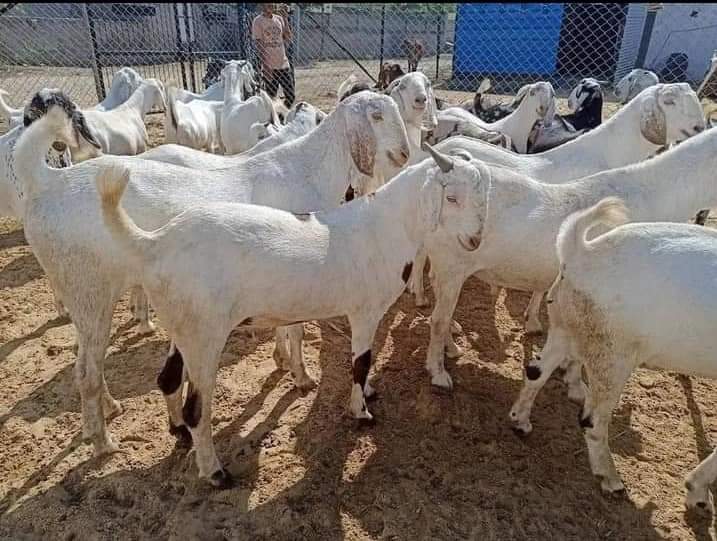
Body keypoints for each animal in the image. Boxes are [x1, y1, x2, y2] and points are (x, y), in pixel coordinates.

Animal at [13, 90, 409, 461]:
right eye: (376, 116)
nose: (405, 155)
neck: (305, 169)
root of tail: (46, 182)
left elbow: (284, 327)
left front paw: (283, 362)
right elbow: (295, 330)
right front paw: (301, 376)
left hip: (86, 295)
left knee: (86, 363)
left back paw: (109, 410)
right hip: (89, 291)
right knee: (86, 374)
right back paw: (102, 442)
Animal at [94, 143, 488, 486]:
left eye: (482, 196)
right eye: (452, 198)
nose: (474, 241)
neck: (384, 226)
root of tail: (154, 243)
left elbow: (362, 362)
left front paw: (368, 392)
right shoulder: (365, 310)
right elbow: (361, 362)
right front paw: (360, 412)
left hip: (183, 325)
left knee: (168, 378)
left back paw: (179, 431)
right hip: (204, 335)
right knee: (197, 409)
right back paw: (215, 473)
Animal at [517, 197, 717, 511]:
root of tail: (582, 251)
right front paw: (697, 492)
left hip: (567, 324)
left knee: (536, 371)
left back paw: (520, 421)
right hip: (613, 353)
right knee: (592, 420)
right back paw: (610, 479)